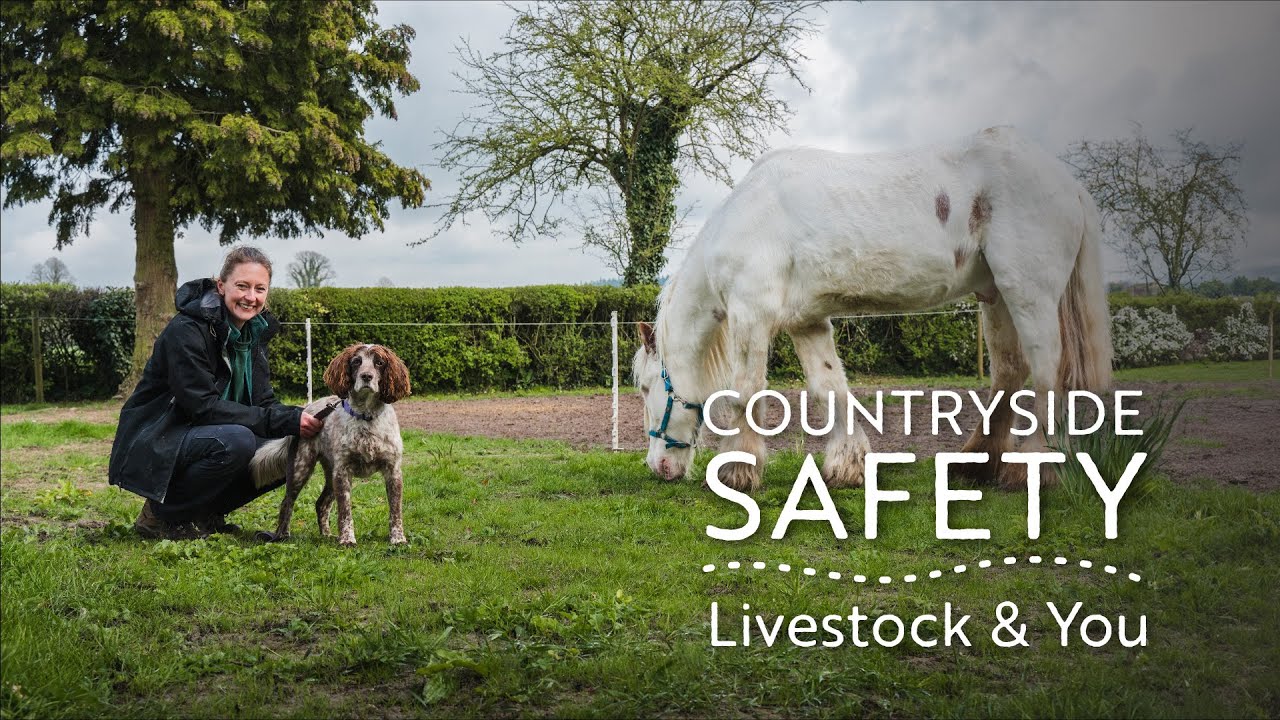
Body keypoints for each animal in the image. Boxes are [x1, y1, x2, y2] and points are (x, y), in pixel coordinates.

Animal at [633, 126, 1112, 492]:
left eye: (643, 386)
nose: (656, 467)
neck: (745, 220)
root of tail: (1069, 184)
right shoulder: (807, 323)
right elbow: (829, 389)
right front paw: (847, 467)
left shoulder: (751, 317)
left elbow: (746, 394)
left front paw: (738, 470)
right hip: (996, 297)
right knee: (1010, 372)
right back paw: (975, 464)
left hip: (1028, 293)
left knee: (1046, 373)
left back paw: (1029, 471)